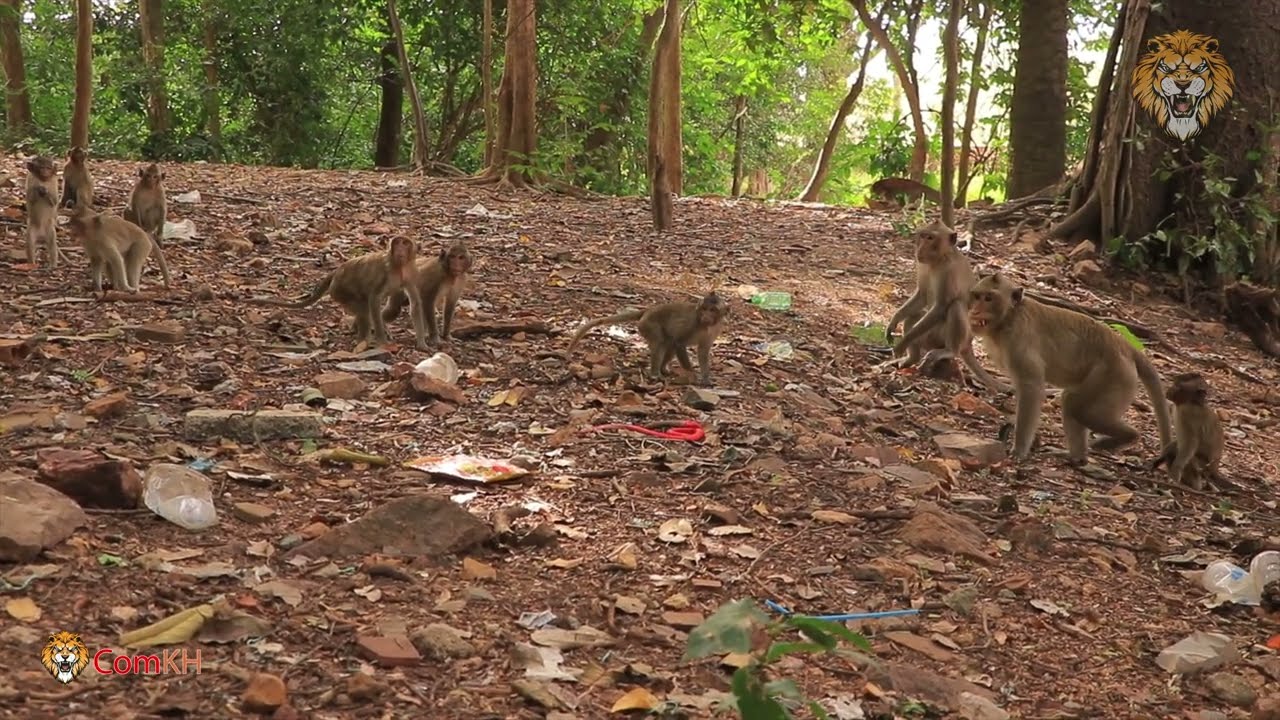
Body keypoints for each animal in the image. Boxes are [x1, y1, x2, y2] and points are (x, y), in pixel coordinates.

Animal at [252, 236, 427, 348]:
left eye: (406, 243)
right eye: (397, 242)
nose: (399, 248)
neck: (400, 267)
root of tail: (337, 270)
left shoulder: (412, 272)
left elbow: (416, 304)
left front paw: (422, 344)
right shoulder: (385, 270)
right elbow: (374, 299)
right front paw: (382, 340)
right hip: (340, 291)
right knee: (364, 308)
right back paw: (363, 340)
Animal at [566, 292, 728, 386]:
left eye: (712, 310)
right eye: (704, 309)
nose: (706, 316)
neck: (706, 326)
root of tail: (647, 311)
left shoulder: (715, 330)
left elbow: (703, 352)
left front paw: (706, 378)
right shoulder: (692, 323)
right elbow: (680, 343)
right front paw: (692, 374)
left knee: (668, 343)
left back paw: (663, 369)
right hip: (648, 325)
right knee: (660, 344)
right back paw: (656, 373)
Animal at [883, 220, 1008, 393]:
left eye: (930, 238)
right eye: (923, 235)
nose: (921, 247)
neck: (938, 259)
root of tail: (968, 343)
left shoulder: (948, 271)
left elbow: (941, 306)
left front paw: (902, 343)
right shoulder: (921, 265)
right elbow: (921, 296)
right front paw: (893, 322)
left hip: (945, 336)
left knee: (955, 306)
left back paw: (949, 351)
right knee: (914, 317)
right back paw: (911, 359)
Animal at [967, 273, 1173, 464]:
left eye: (989, 298)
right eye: (977, 296)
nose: (974, 311)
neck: (1009, 318)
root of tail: (1125, 345)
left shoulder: (1018, 339)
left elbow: (1031, 387)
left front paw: (1019, 450)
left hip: (1114, 375)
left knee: (1080, 408)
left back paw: (1129, 436)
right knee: (1071, 401)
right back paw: (1076, 457)